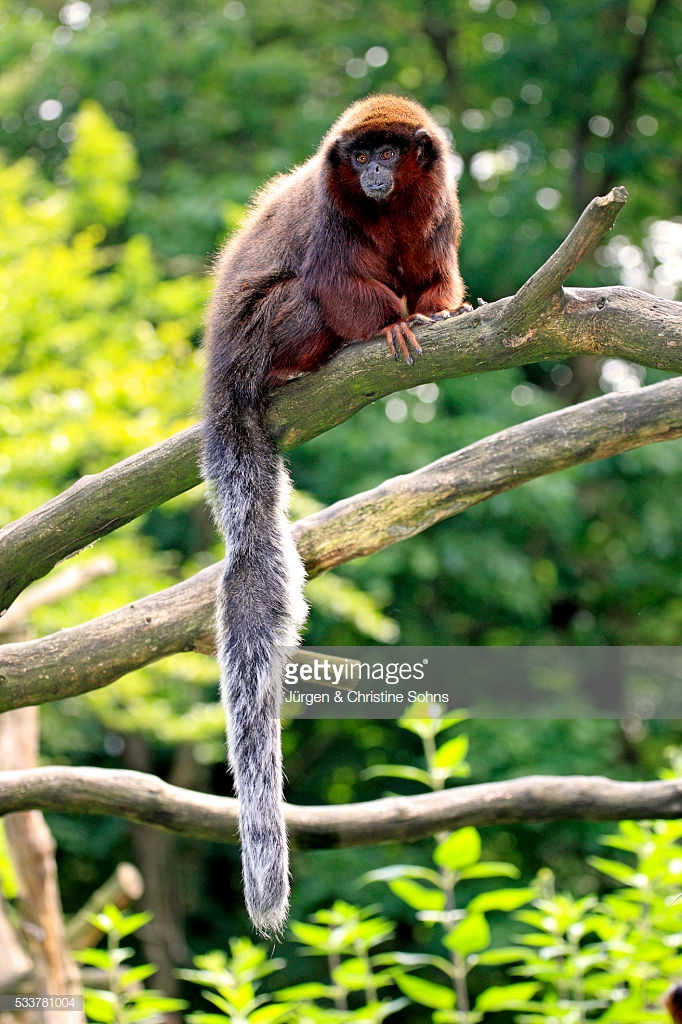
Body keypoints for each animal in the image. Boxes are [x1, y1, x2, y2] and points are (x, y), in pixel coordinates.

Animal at [199, 96, 471, 937]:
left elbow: (436, 274)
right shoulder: (328, 213)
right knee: (305, 295)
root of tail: (220, 376)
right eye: (360, 158)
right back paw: (297, 368)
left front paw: (444, 308)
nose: (376, 173)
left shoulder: (443, 209)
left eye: (389, 153)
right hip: (257, 337)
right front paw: (389, 326)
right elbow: (336, 281)